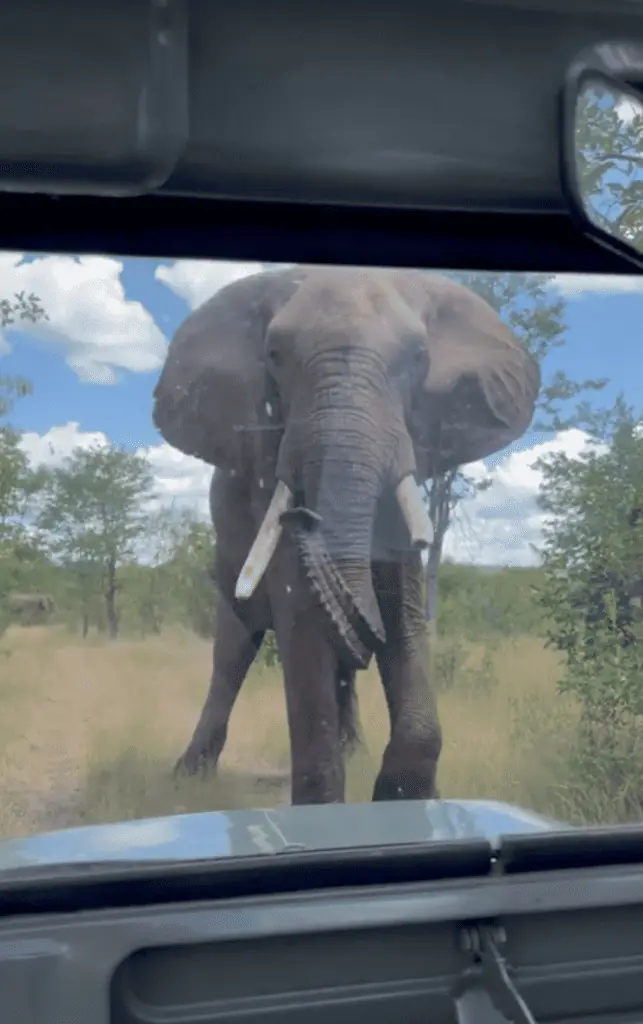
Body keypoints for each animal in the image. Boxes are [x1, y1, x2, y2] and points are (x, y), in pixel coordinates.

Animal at [152, 265, 541, 805]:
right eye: (274, 355)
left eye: (418, 357)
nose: (303, 516)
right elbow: (301, 621)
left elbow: (403, 609)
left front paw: (407, 798)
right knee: (233, 651)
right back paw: (191, 775)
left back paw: (353, 748)